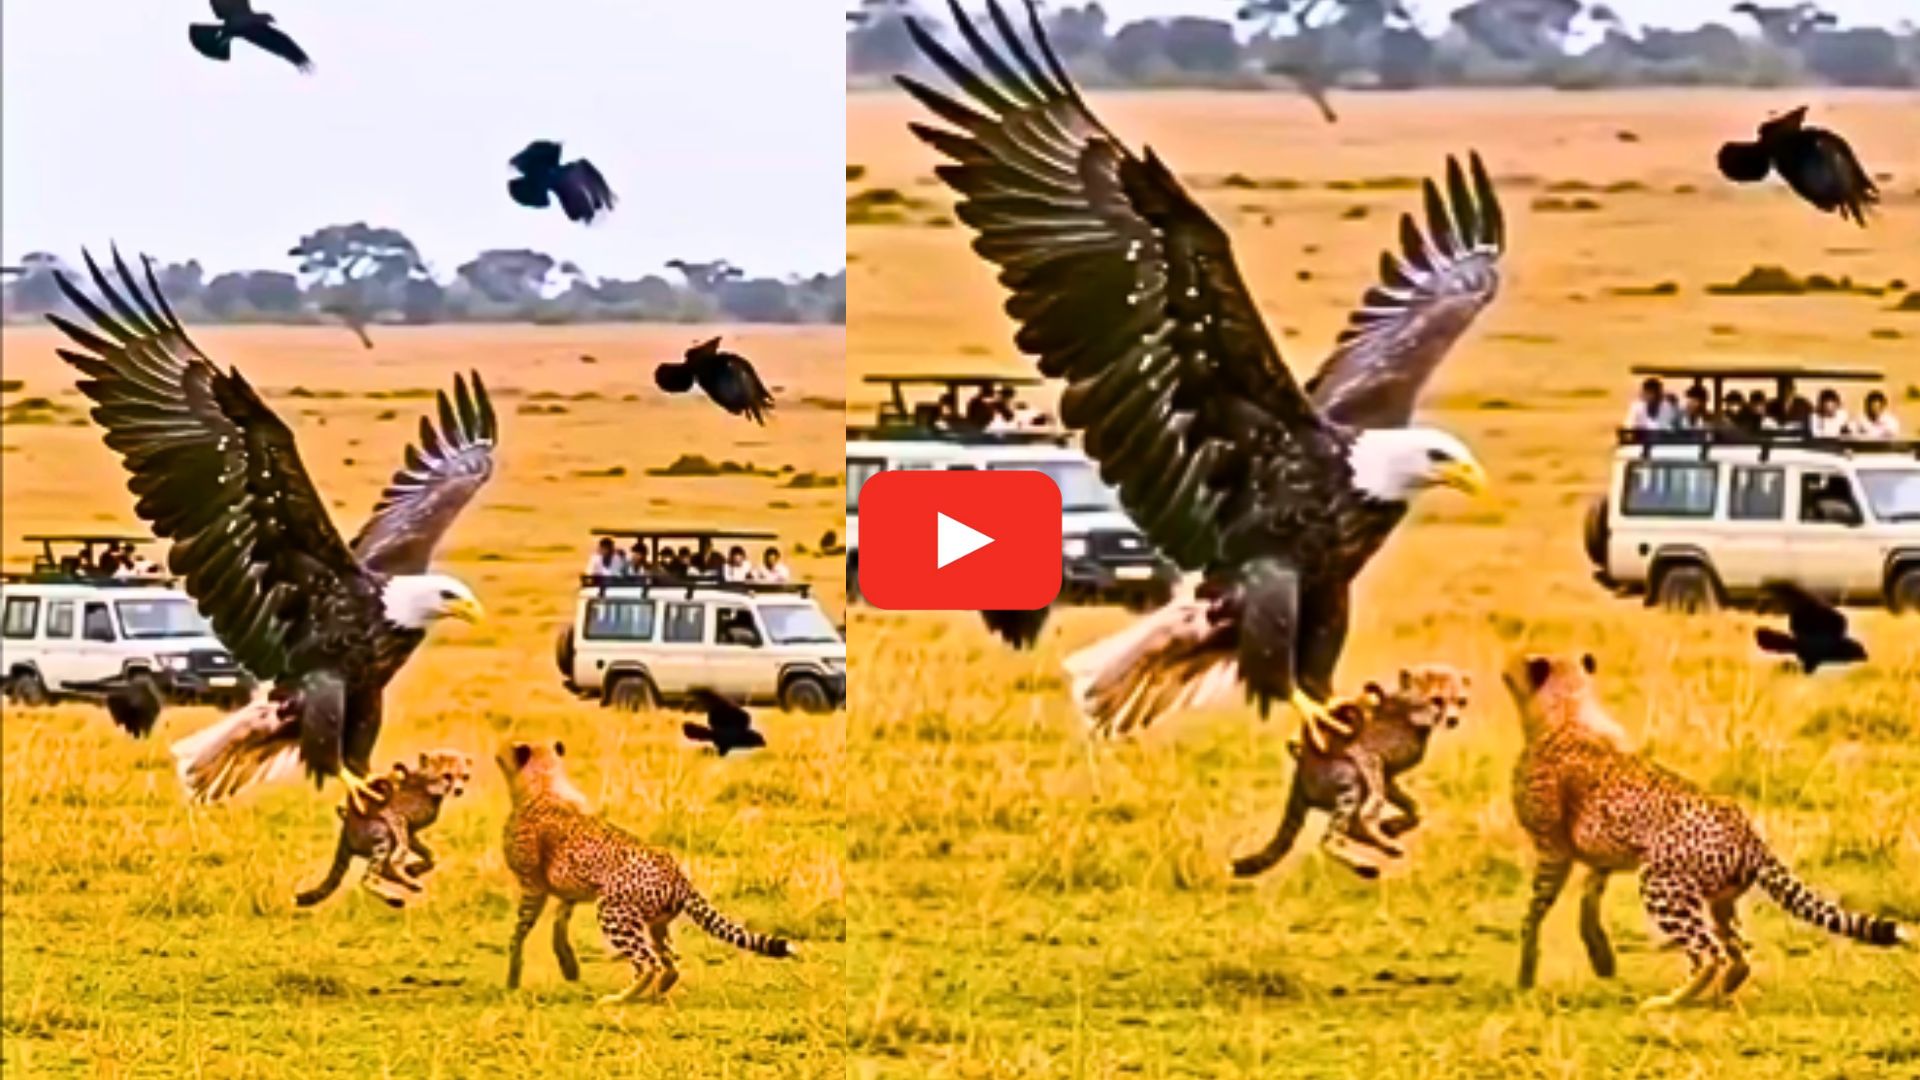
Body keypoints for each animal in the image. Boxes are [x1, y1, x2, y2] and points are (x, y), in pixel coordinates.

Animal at [295, 750, 473, 909]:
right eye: (447, 775)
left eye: (465, 776)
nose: (459, 790)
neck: (428, 789)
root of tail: (345, 832)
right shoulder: (394, 816)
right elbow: (403, 850)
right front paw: (407, 865)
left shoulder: (410, 832)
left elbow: (432, 856)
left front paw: (413, 868)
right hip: (383, 833)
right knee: (367, 878)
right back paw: (395, 898)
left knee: (383, 870)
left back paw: (410, 882)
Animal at [498, 738, 794, 1003]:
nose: (498, 752)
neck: (545, 783)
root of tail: (678, 874)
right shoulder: (566, 889)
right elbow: (559, 923)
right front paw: (568, 965)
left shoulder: (533, 886)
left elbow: (520, 931)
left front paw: (513, 976)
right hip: (656, 922)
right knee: (670, 962)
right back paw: (658, 991)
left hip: (613, 910)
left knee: (649, 962)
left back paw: (619, 998)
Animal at [1231, 664, 1471, 880]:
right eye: (1437, 699)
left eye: (1461, 701)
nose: (1453, 719)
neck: (1412, 717)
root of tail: (1298, 775)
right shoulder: (1365, 755)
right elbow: (1377, 801)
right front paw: (1383, 822)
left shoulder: (1387, 776)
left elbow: (1416, 808)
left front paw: (1392, 826)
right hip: (1350, 778)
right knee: (1329, 839)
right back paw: (1366, 866)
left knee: (1349, 829)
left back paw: (1386, 843)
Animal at [1505, 650, 1908, 1009]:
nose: (1507, 668)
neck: (1569, 710)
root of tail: (1748, 832)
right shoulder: (1597, 853)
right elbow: (1589, 900)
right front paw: (1601, 956)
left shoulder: (1553, 849)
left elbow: (1536, 909)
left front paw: (1525, 971)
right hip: (1719, 898)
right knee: (1738, 953)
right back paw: (1721, 991)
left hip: (1662, 883)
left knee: (1709, 952)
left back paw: (1669, 1002)